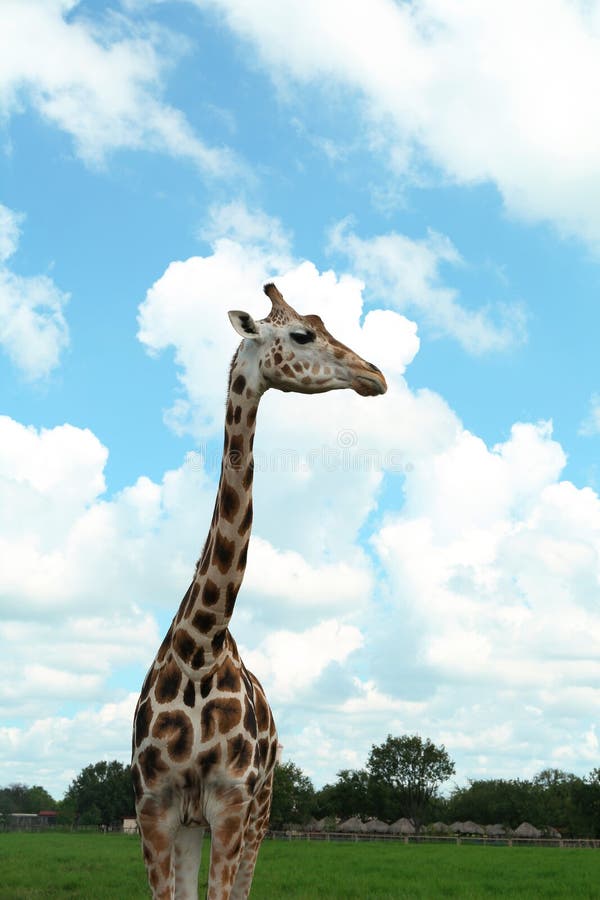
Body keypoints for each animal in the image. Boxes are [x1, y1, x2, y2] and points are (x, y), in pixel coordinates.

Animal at [131, 282, 387, 900]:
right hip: (195, 824)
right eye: (302, 334)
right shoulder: (155, 807)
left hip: (262, 809)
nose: (375, 374)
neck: (201, 646)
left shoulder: (232, 803)